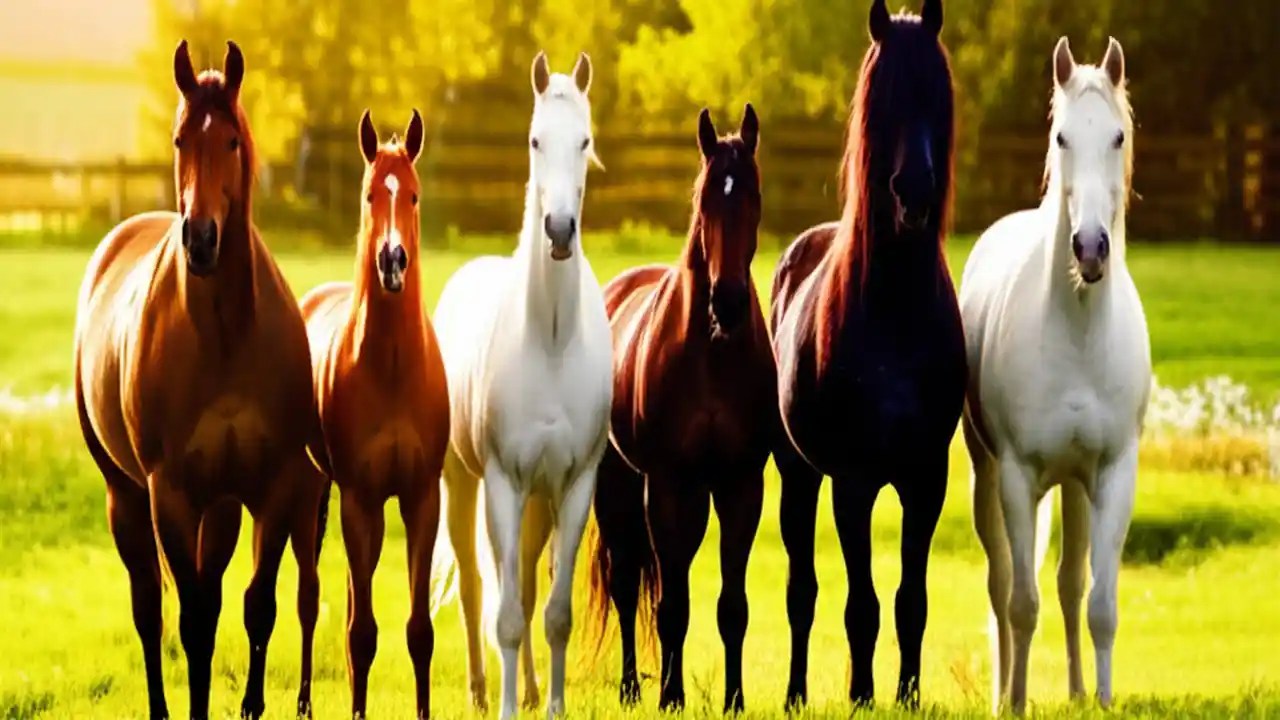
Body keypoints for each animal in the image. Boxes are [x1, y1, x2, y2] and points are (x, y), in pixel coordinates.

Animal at [73, 40, 328, 720]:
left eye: (232, 140)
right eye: (179, 138)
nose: (201, 239)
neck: (225, 338)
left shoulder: (269, 487)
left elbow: (254, 607)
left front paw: (249, 707)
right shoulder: (170, 493)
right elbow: (188, 621)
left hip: (221, 506)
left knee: (211, 600)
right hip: (127, 496)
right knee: (149, 609)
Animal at [428, 51, 612, 720]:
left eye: (584, 140)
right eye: (536, 139)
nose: (558, 230)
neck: (552, 341)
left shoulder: (575, 485)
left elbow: (552, 613)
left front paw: (552, 703)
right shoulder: (503, 483)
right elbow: (505, 616)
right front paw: (506, 706)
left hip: (537, 502)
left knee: (528, 584)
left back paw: (530, 689)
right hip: (462, 486)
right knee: (478, 586)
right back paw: (485, 692)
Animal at [587, 104, 776, 713]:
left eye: (754, 194)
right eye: (707, 199)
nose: (729, 301)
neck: (711, 353)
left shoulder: (740, 485)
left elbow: (731, 606)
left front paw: (735, 699)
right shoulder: (668, 484)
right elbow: (670, 605)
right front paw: (670, 696)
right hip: (617, 486)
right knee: (627, 585)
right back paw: (630, 687)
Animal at [769, 0, 964, 709]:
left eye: (935, 92)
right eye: (881, 98)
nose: (914, 190)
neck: (893, 307)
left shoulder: (925, 479)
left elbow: (911, 601)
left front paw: (905, 696)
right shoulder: (852, 483)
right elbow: (862, 605)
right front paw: (861, 695)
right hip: (797, 475)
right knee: (801, 590)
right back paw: (796, 693)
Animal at [960, 37, 1146, 715]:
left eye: (1117, 136)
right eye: (1062, 136)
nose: (1090, 248)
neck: (1078, 336)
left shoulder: (1114, 476)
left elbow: (1099, 604)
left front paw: (1104, 700)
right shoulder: (1016, 477)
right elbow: (1020, 602)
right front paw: (1014, 702)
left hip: (1074, 488)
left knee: (1069, 586)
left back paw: (1075, 689)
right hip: (989, 478)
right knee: (1002, 587)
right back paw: (1001, 695)